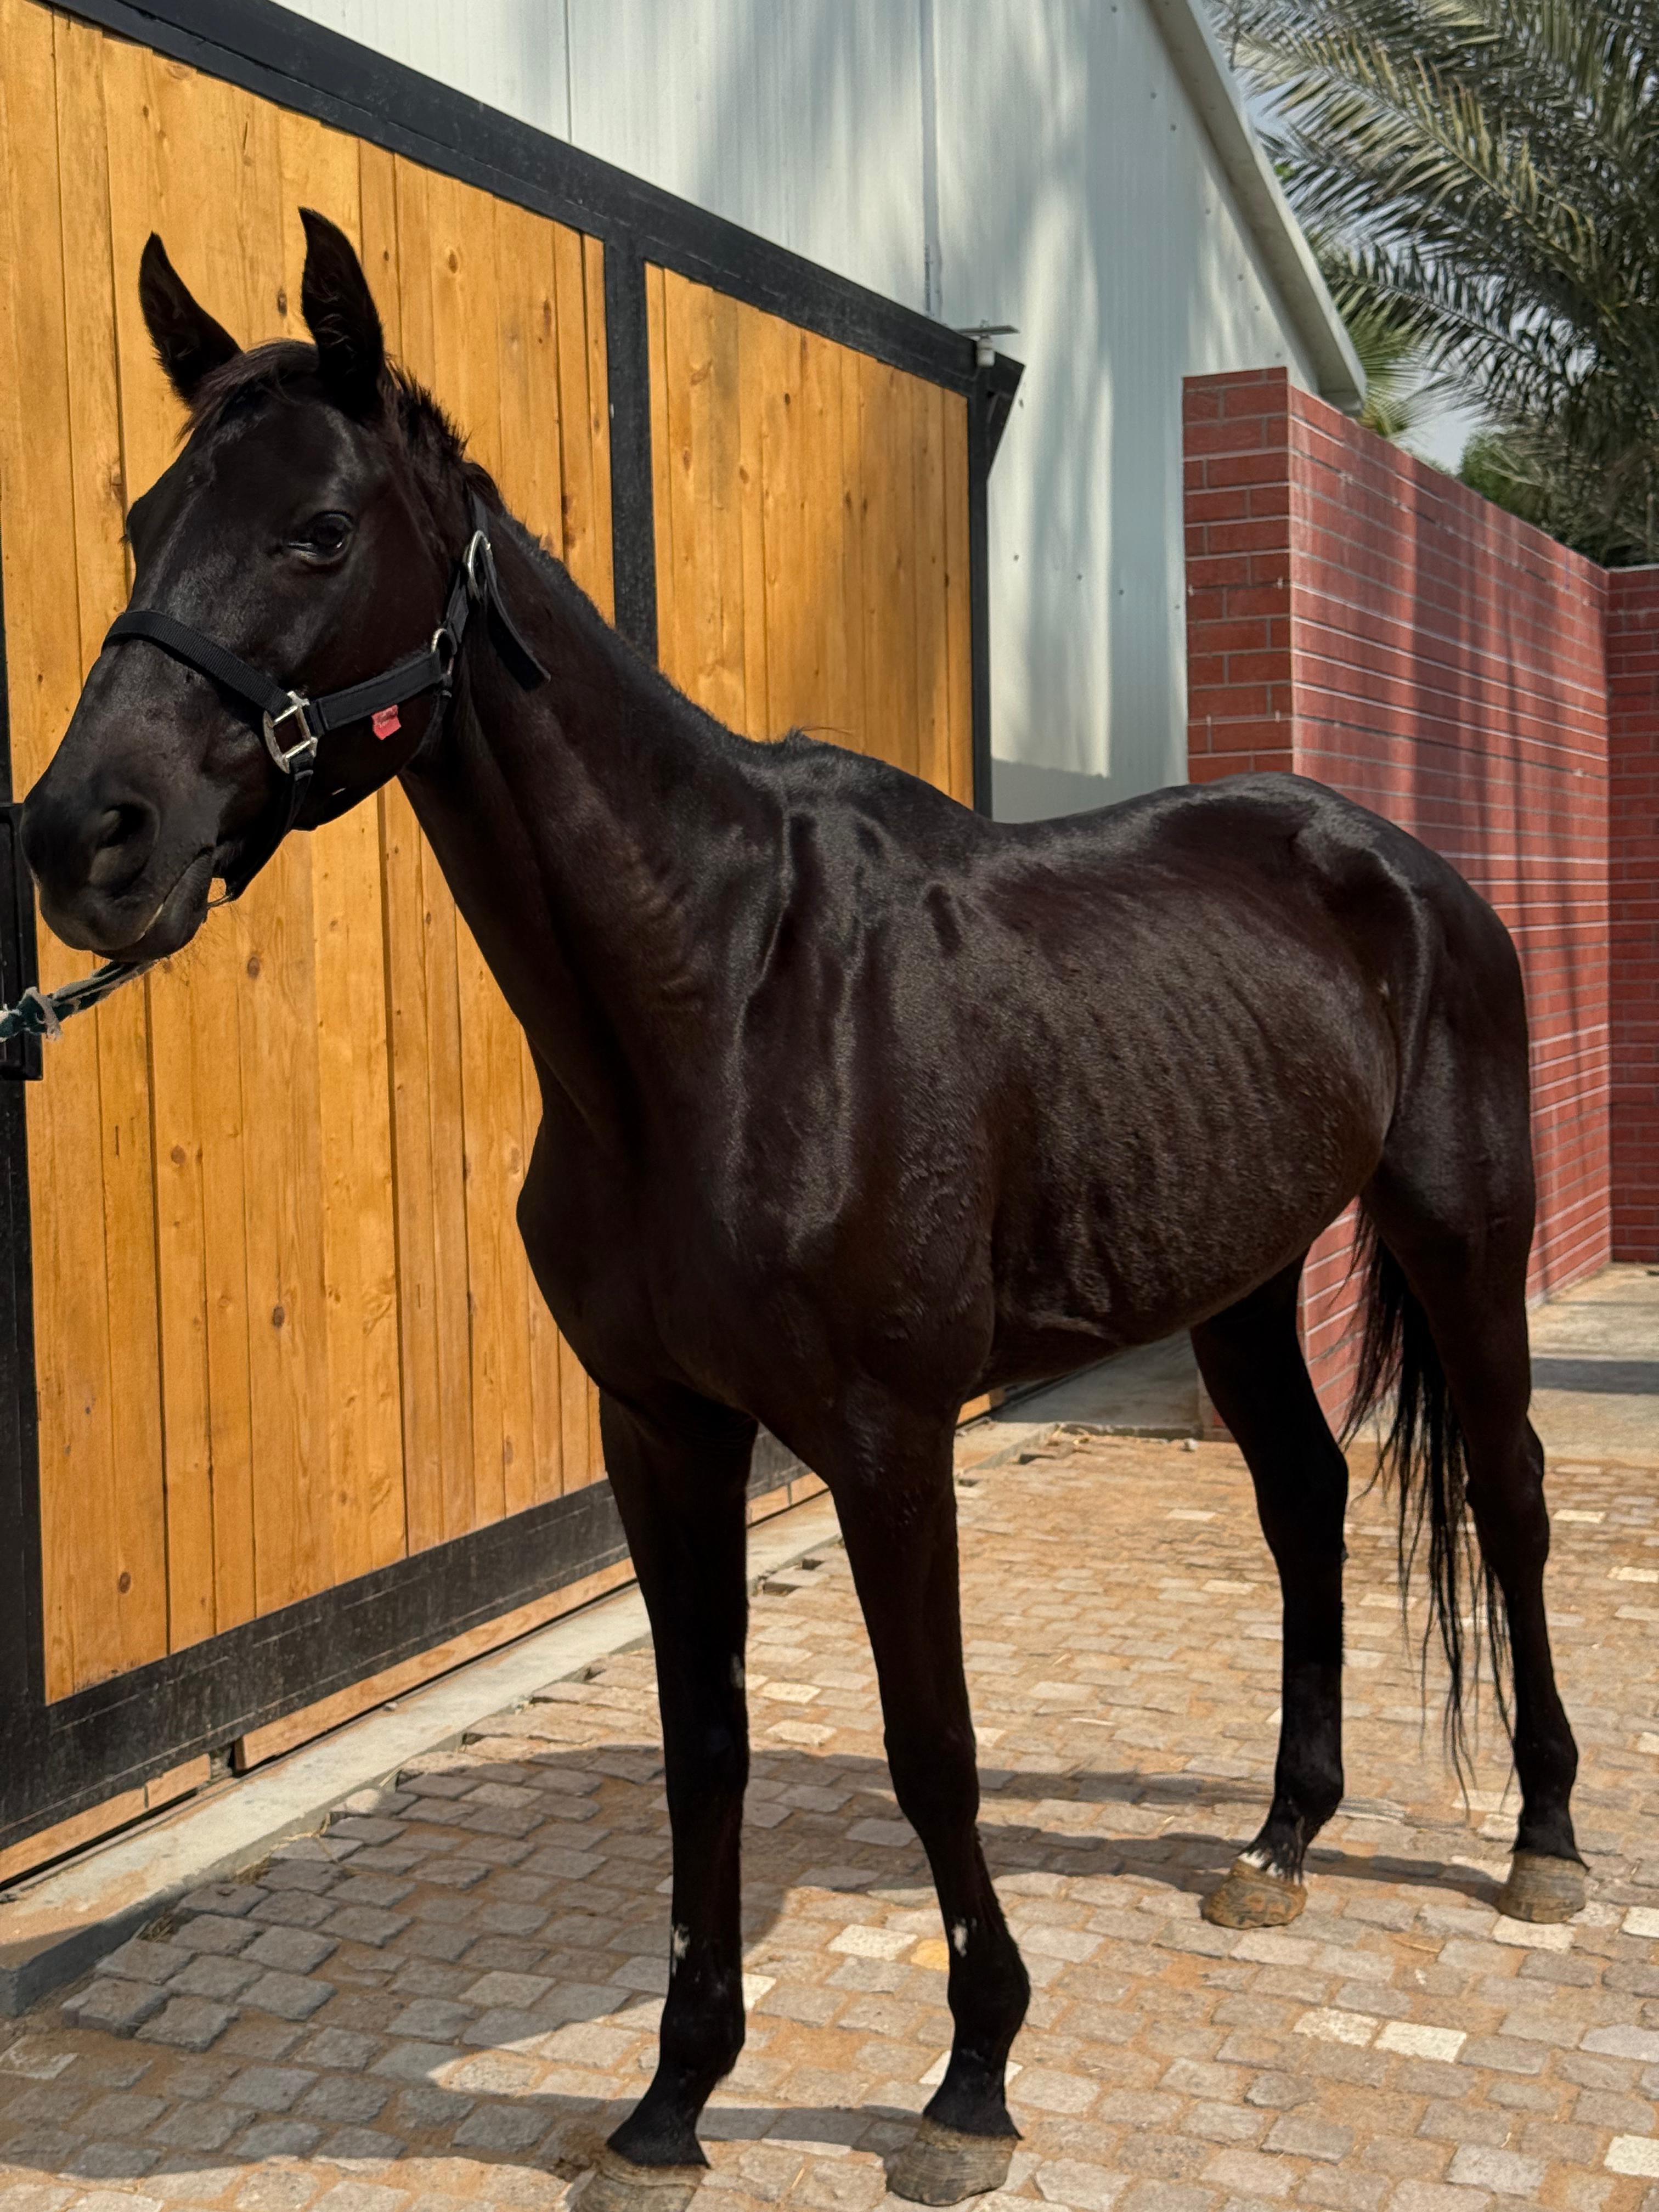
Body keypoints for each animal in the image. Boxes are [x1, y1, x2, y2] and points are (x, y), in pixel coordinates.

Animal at [19, 211, 1582, 2209]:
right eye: (145, 517)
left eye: (315, 528)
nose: (83, 838)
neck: (727, 1001)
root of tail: (1397, 864)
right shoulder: (661, 1430)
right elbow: (705, 1745)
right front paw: (674, 2099)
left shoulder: (888, 1438)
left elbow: (931, 1742)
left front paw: (972, 2078)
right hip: (1237, 1274)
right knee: (1304, 1502)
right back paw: (1281, 1845)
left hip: (1462, 1235)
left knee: (1512, 1495)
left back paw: (1545, 1839)